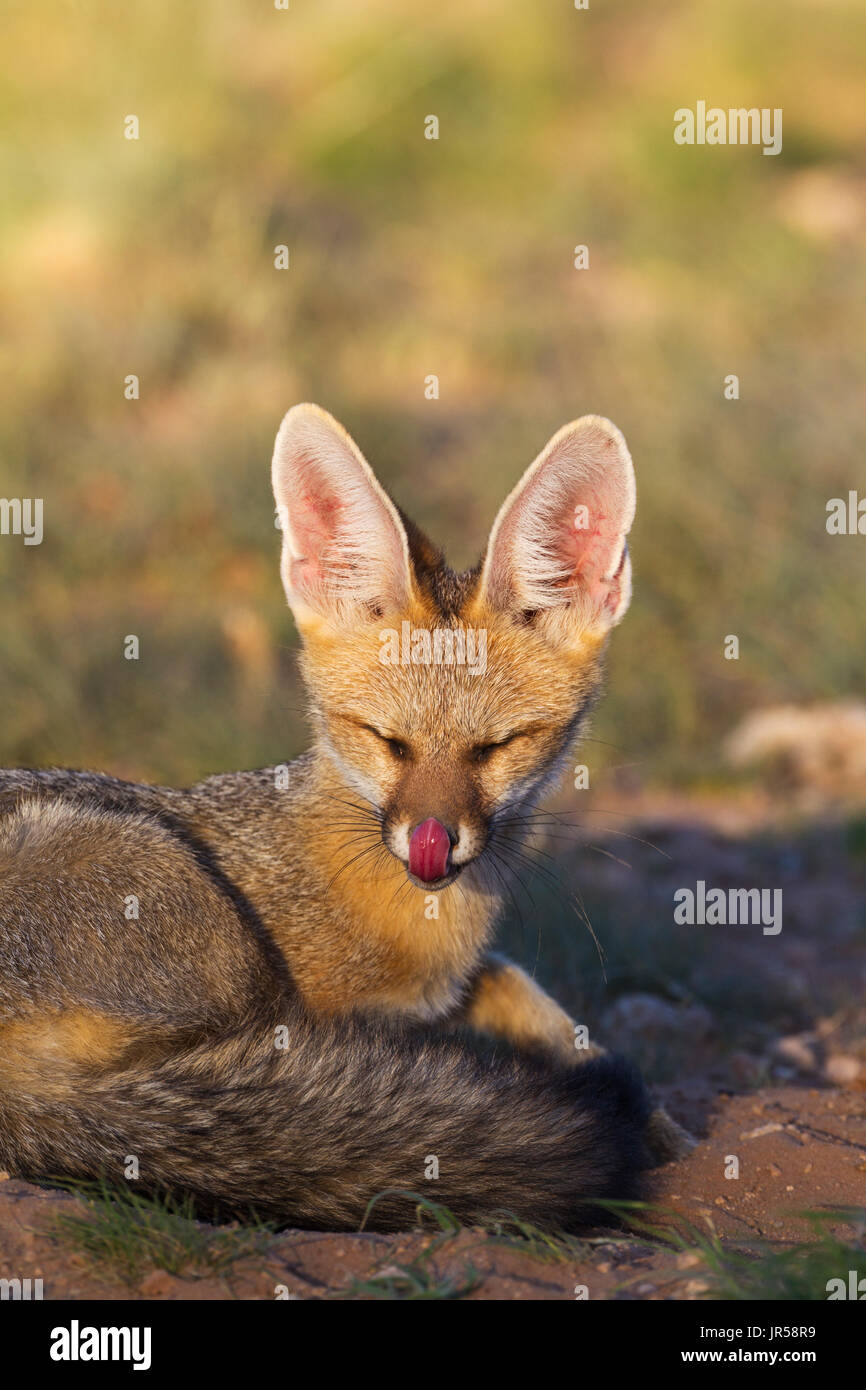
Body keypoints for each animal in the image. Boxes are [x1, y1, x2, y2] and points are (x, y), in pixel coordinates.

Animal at [0, 404, 690, 1234]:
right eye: (387, 741)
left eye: (497, 747)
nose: (432, 846)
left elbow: (531, 995)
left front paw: (661, 1121)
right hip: (196, 921)